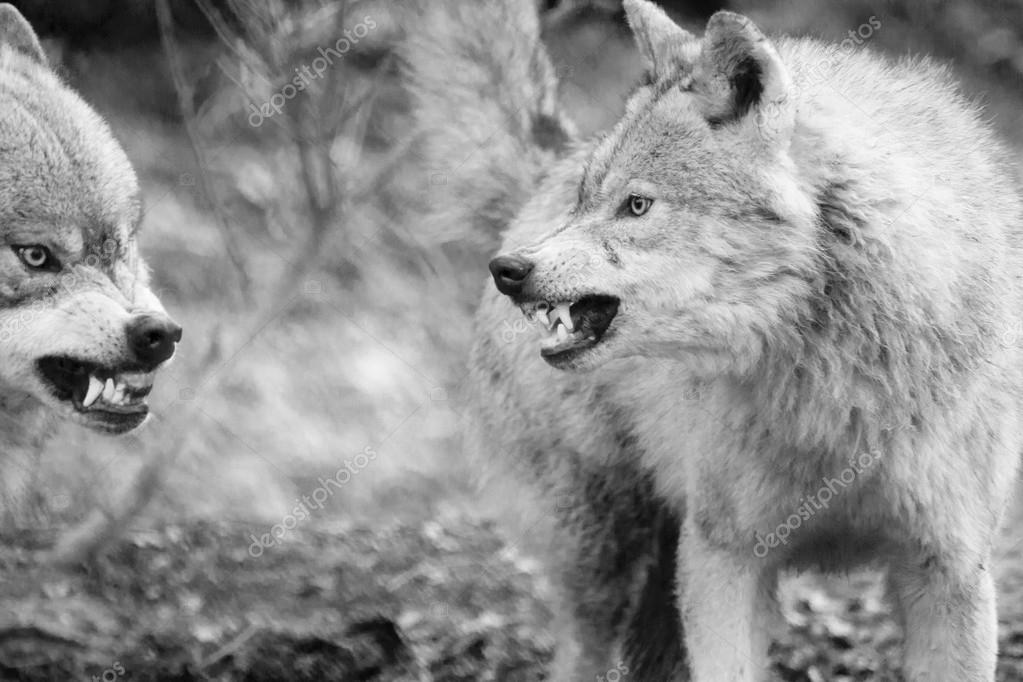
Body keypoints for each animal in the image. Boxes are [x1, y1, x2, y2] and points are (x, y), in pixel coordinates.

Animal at [405, 0, 1023, 680]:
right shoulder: (722, 557)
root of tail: (543, 175)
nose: (509, 269)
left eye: (637, 205)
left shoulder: (951, 570)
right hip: (604, 557)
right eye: (588, 201)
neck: (836, 386)